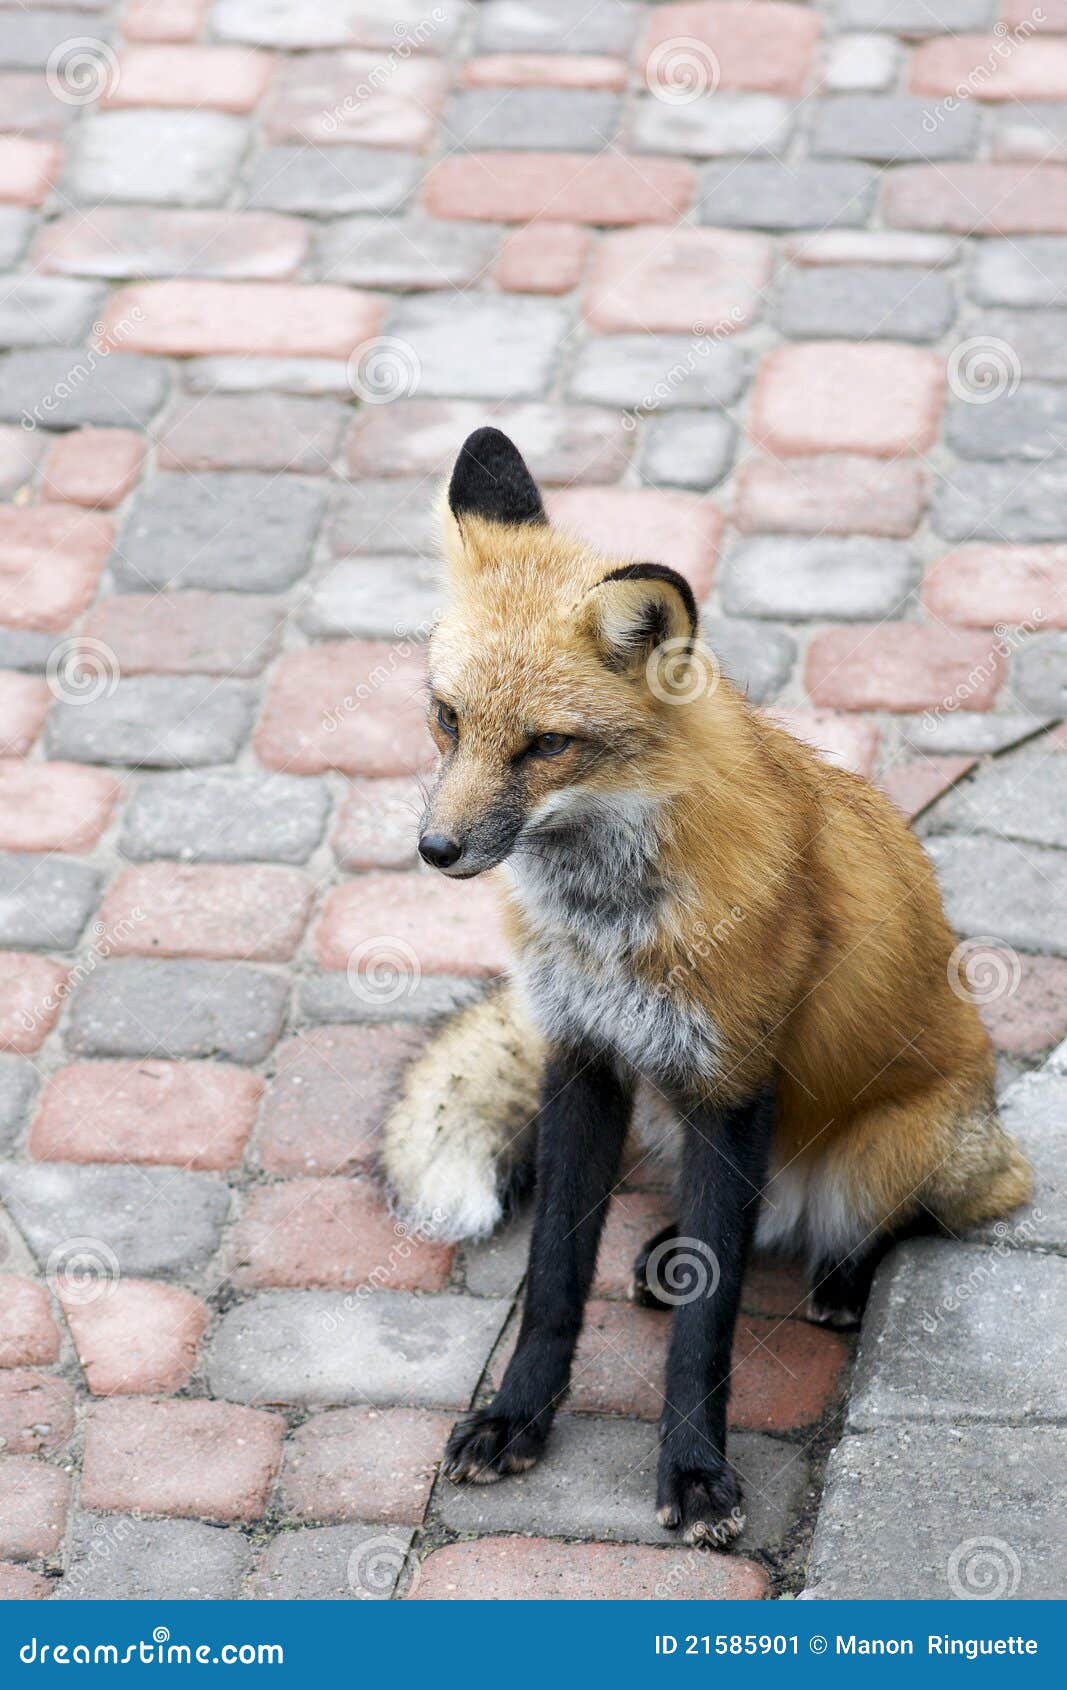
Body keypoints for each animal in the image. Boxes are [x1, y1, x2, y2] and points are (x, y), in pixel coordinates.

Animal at [382, 426, 1031, 1547]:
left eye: (544, 744)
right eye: (446, 718)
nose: (437, 850)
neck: (607, 920)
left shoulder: (735, 1077)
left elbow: (709, 1319)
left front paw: (695, 1473)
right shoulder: (583, 1058)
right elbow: (553, 1279)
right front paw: (516, 1417)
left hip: (891, 1151)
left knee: (918, 1211)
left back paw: (842, 1278)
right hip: (663, 1108)